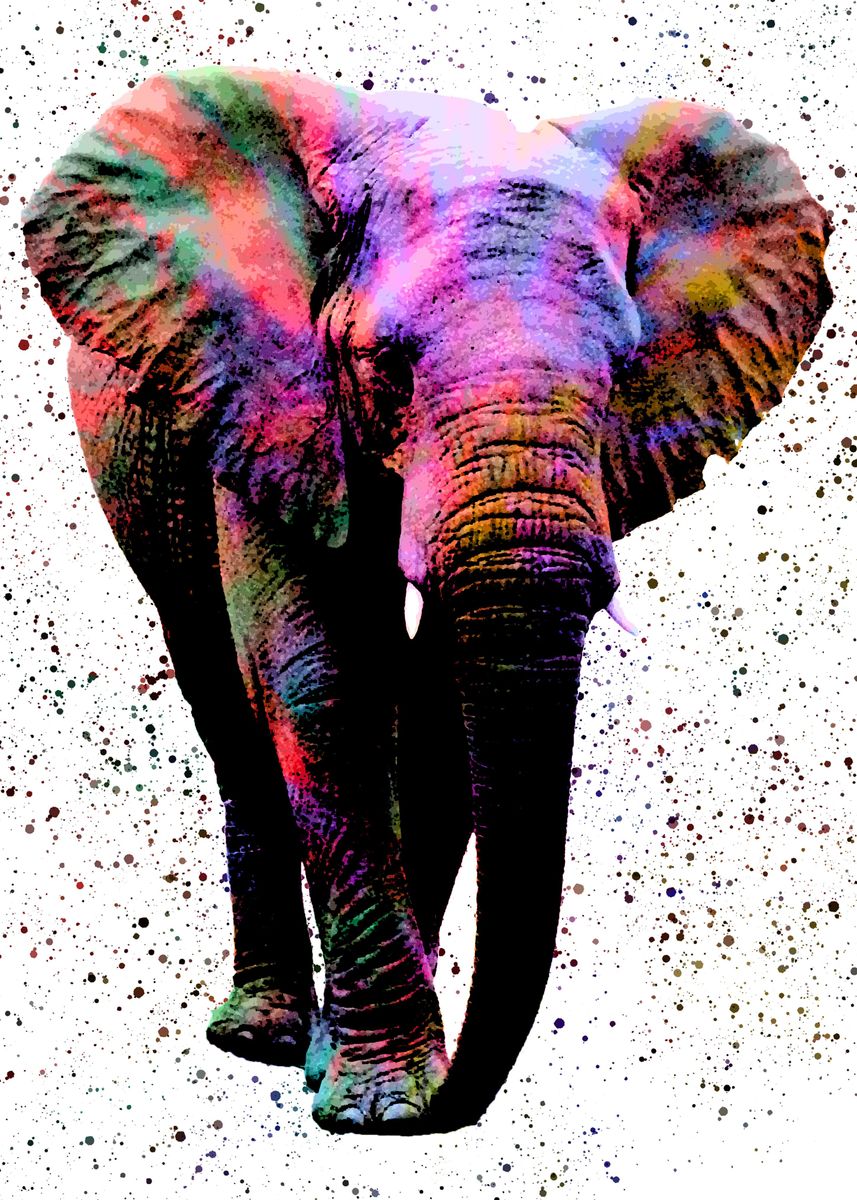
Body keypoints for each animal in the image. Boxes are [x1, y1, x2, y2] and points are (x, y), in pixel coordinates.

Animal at [23, 68, 831, 1134]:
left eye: (622, 375)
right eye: (386, 368)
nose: (460, 1103)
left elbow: (445, 714)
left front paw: (369, 1085)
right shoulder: (266, 394)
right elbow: (319, 679)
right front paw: (379, 1108)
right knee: (223, 697)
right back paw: (259, 1038)